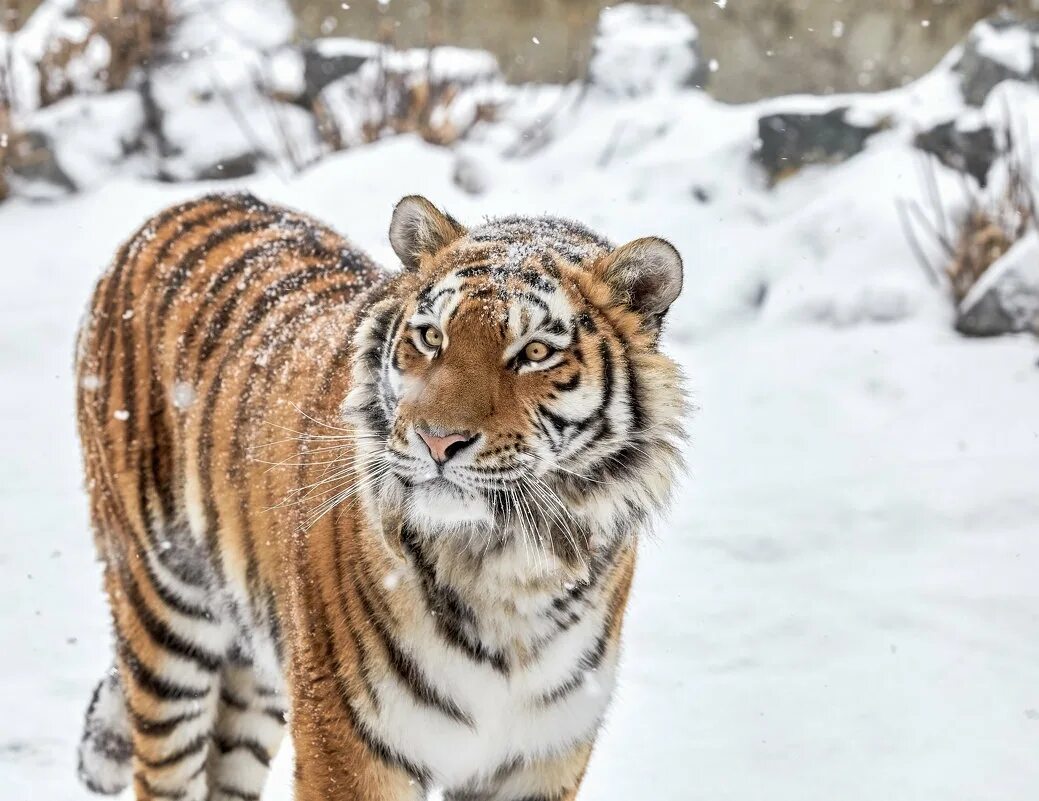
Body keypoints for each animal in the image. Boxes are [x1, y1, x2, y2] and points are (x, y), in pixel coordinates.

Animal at [74, 191, 686, 801]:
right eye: (432, 337)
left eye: (535, 352)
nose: (438, 440)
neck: (510, 573)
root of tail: (179, 207)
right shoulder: (349, 744)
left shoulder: (544, 756)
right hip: (164, 614)